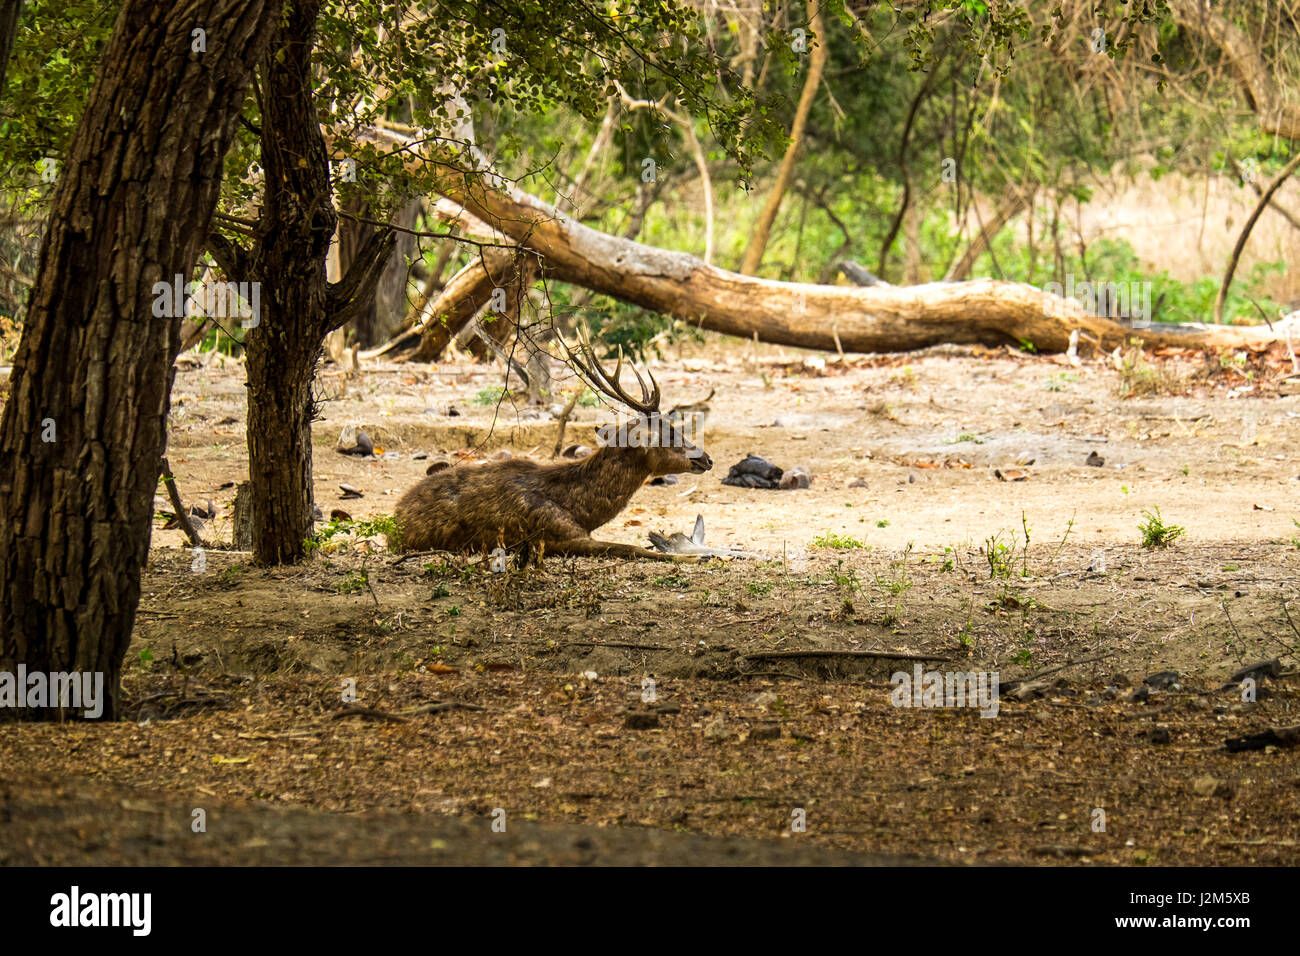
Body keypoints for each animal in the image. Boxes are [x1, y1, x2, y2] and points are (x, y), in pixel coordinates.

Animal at [393, 328, 713, 562]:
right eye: (669, 433)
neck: (579, 510)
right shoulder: (555, 534)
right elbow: (629, 548)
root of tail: (394, 519)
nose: (707, 459)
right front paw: (693, 556)